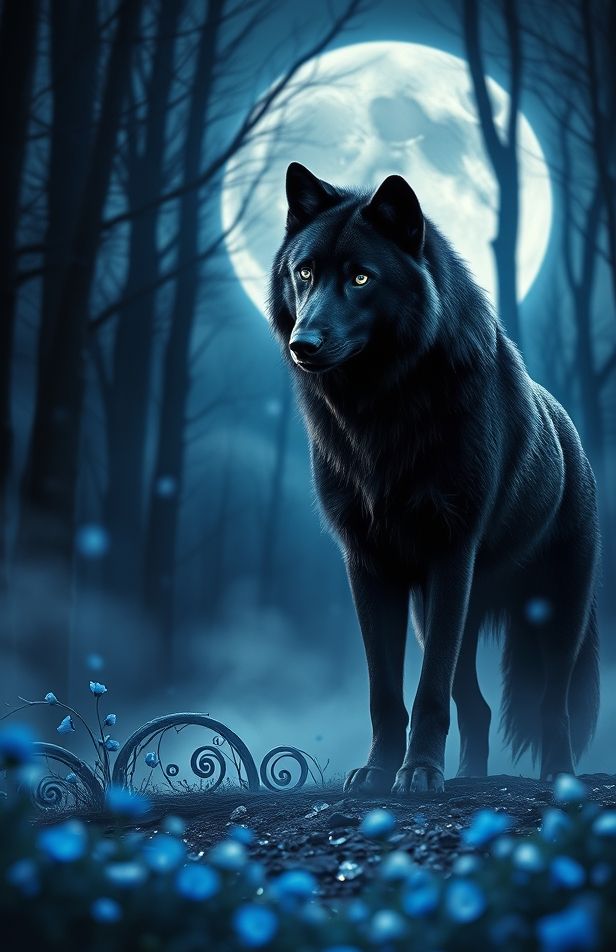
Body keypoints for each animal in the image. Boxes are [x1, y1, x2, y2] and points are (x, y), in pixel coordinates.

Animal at [268, 162, 600, 794]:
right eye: (305, 272)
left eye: (361, 277)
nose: (304, 344)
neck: (380, 411)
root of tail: (572, 432)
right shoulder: (367, 563)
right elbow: (385, 691)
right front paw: (379, 773)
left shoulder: (451, 552)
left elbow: (428, 691)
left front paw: (419, 772)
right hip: (443, 612)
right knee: (478, 706)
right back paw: (469, 776)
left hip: (556, 612)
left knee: (553, 704)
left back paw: (559, 777)